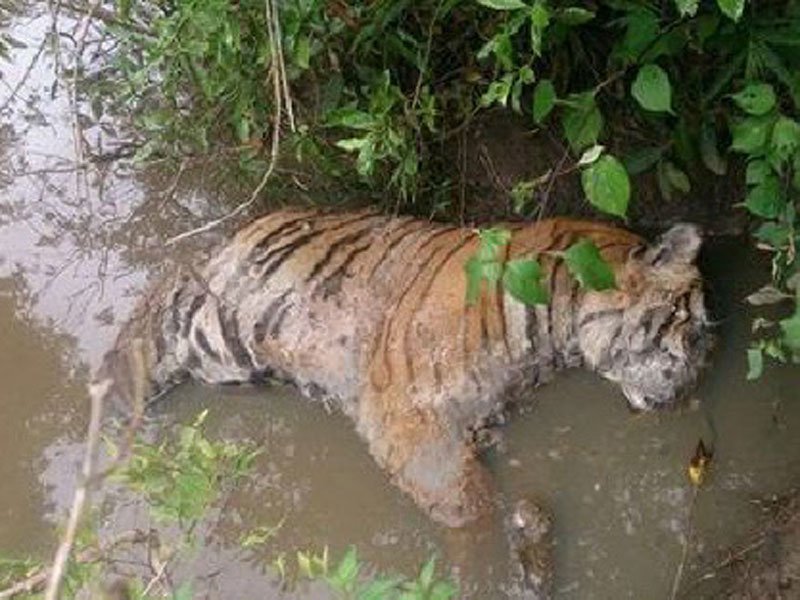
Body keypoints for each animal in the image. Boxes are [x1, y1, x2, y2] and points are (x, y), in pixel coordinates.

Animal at [92, 208, 710, 529]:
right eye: (685, 322)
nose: (691, 387)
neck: (557, 327)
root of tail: (226, 237)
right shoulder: (410, 415)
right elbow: (468, 505)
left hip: (225, 357)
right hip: (187, 325)